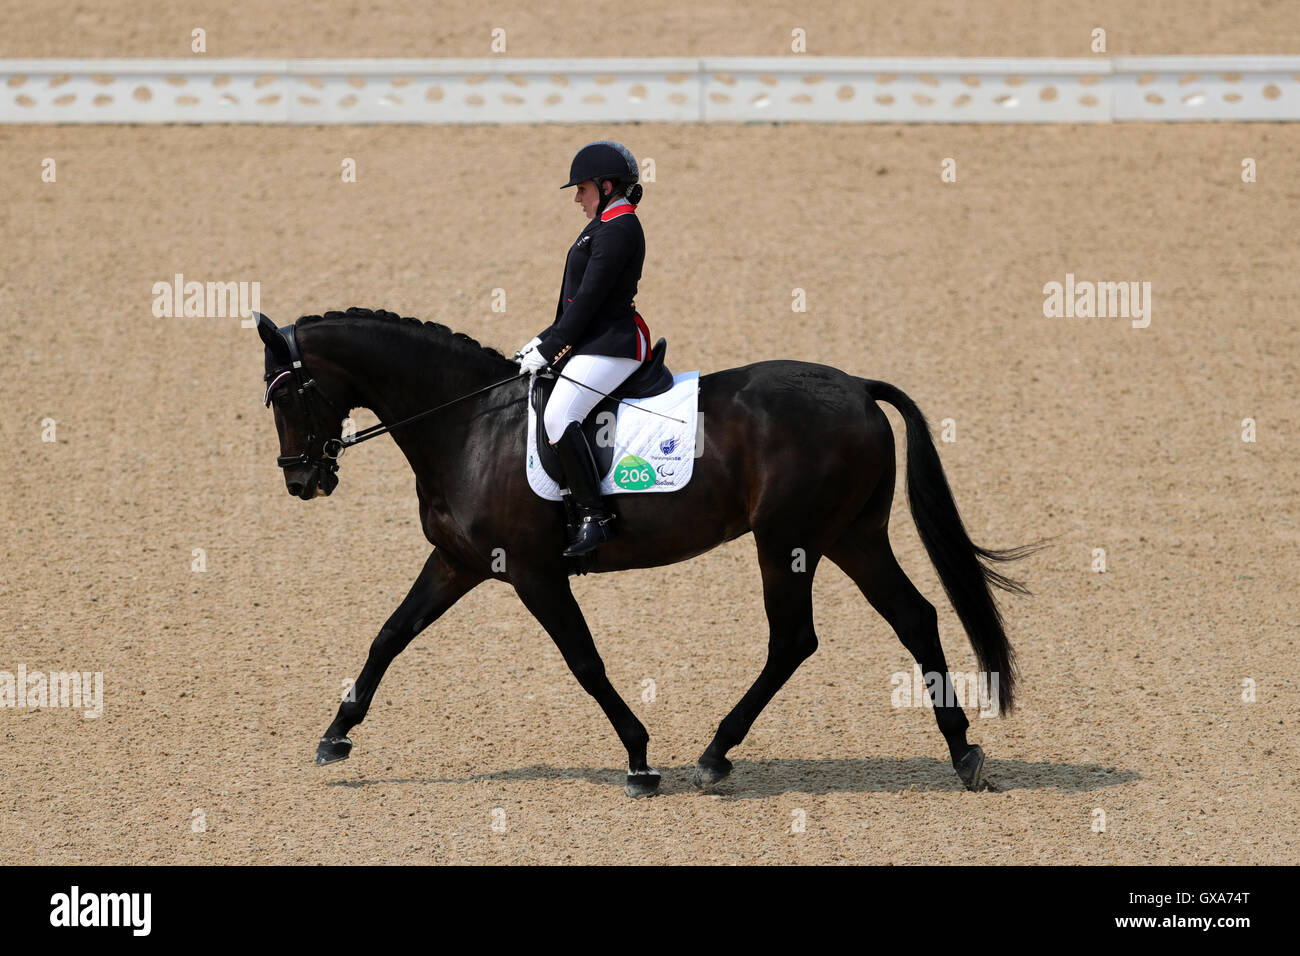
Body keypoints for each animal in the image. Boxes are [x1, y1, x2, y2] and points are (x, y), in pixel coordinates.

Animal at [256, 307, 1037, 797]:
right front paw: (335, 737)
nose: (301, 480)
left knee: (794, 639)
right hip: (851, 536)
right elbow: (388, 636)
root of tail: (857, 389)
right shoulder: (460, 565)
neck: (468, 425)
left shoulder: (535, 575)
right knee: (915, 618)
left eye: (287, 394)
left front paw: (638, 759)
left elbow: (585, 662)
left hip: (788, 541)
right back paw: (964, 752)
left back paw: (716, 757)